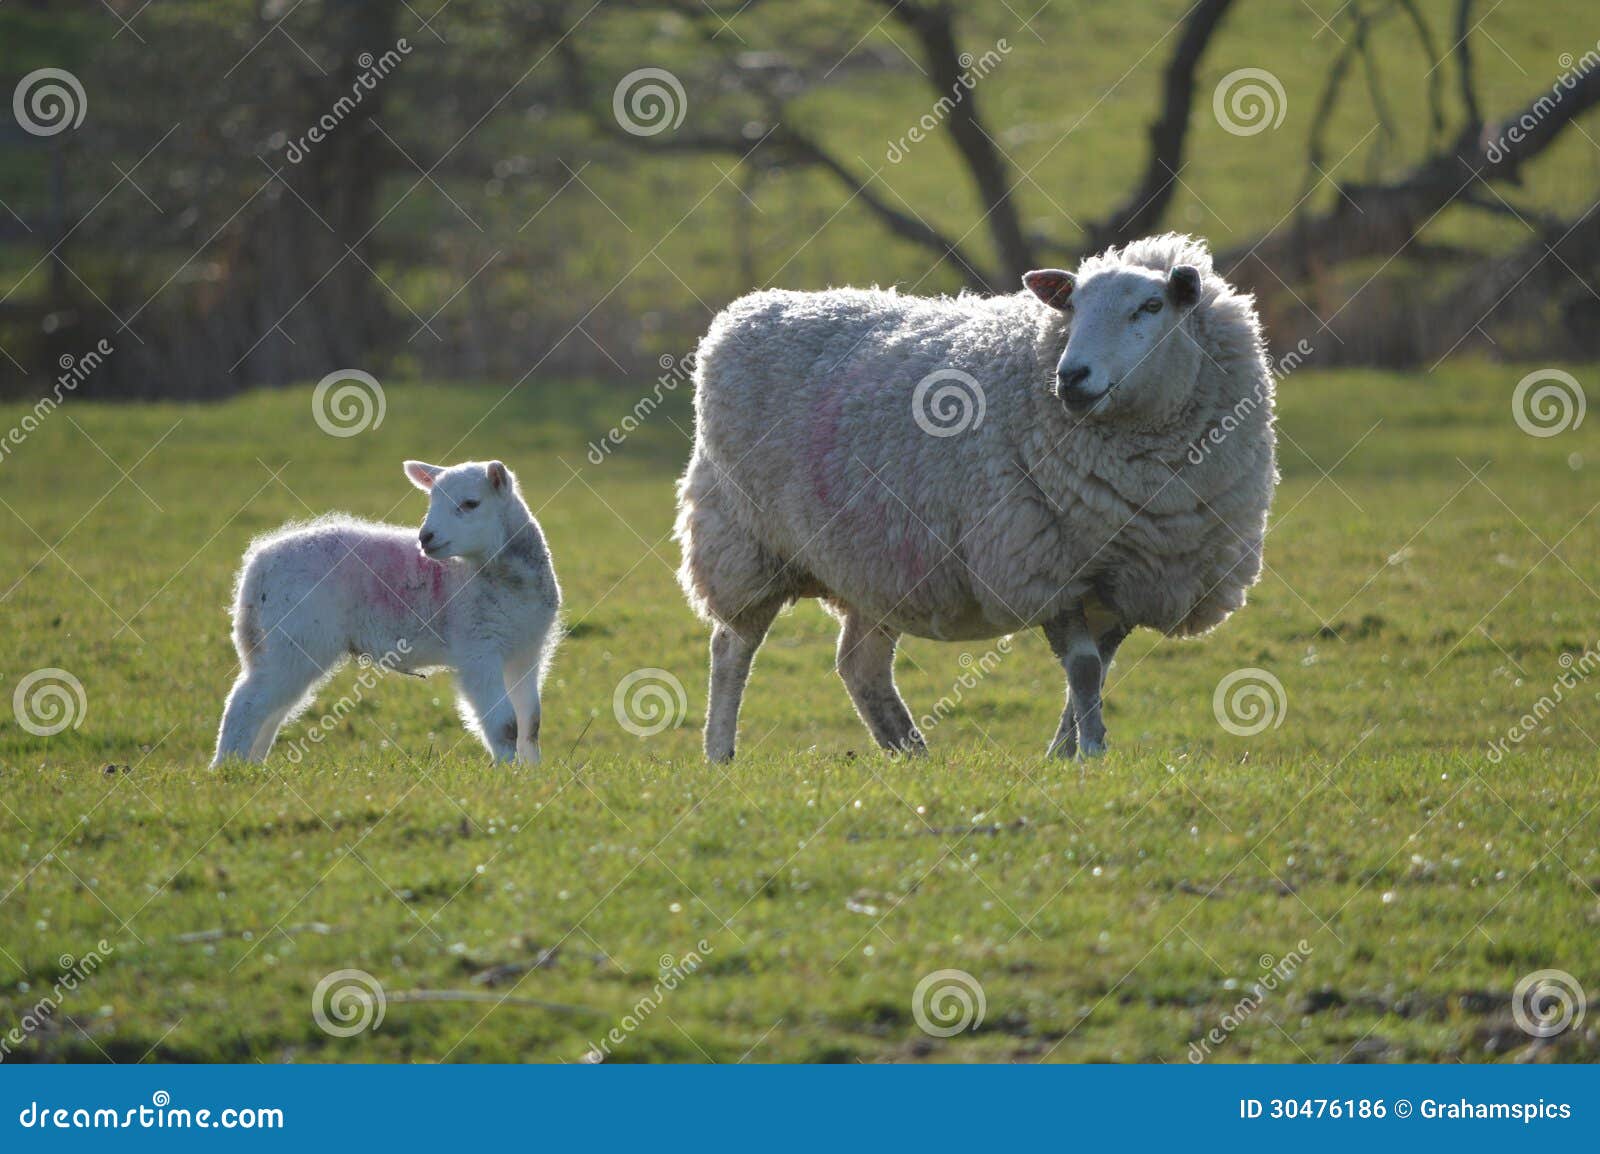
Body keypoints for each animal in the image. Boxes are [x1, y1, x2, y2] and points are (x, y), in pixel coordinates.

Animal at [211, 460, 560, 766]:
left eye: (471, 503)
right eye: (431, 500)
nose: (425, 537)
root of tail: (258, 563)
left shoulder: (527, 650)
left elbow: (531, 722)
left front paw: (532, 772)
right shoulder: (478, 648)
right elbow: (505, 724)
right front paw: (507, 771)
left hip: (279, 641)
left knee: (271, 708)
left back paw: (253, 764)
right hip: (296, 637)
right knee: (246, 702)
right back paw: (228, 766)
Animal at [675, 233, 1276, 761]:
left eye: (1151, 306)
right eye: (1072, 308)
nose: (1071, 377)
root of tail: (749, 309)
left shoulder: (1137, 575)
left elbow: (1097, 671)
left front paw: (1068, 751)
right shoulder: (1042, 565)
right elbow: (1083, 668)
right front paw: (1089, 753)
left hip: (876, 557)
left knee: (860, 664)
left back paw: (911, 753)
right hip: (742, 540)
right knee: (732, 649)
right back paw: (720, 752)